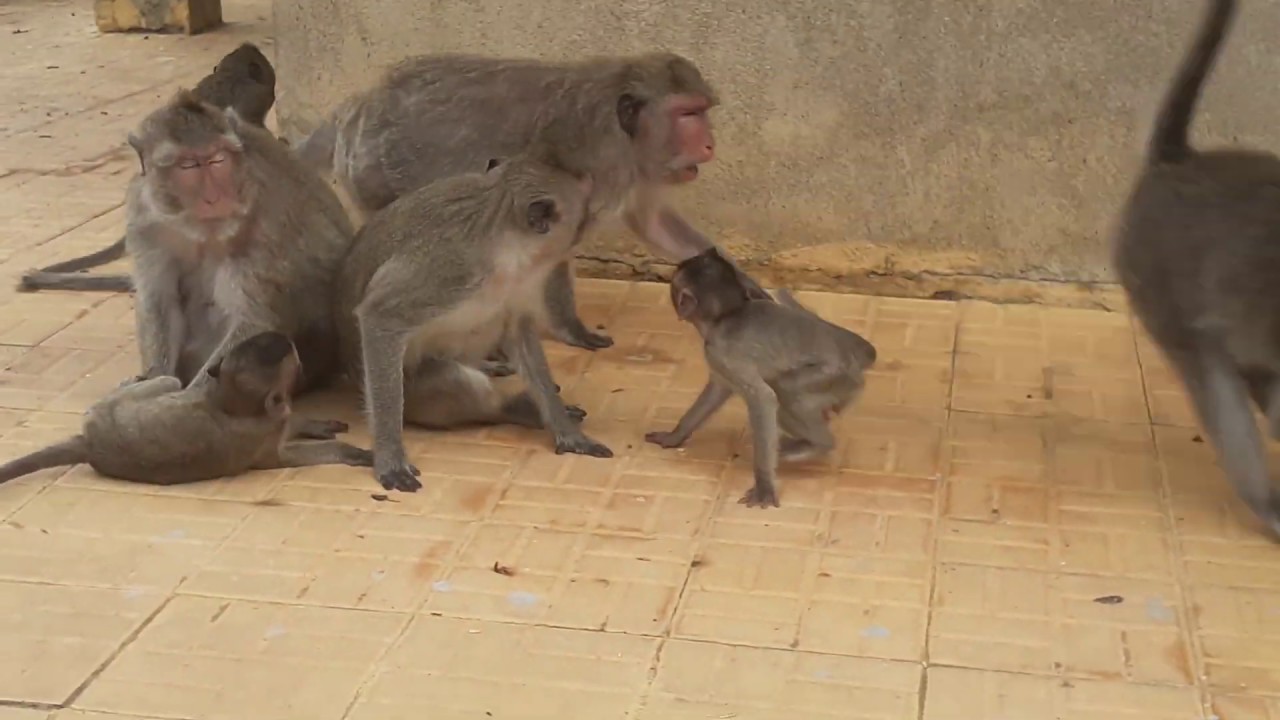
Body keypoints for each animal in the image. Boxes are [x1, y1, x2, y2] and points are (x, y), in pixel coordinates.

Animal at [0, 331, 372, 486]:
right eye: (286, 353)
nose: (289, 340)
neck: (229, 402)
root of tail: (89, 443)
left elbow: (289, 420)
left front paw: (312, 424)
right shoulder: (263, 440)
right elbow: (287, 455)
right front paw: (351, 452)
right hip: (113, 406)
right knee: (169, 380)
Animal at [294, 51, 771, 363]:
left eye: (702, 111)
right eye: (687, 115)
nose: (709, 144)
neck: (624, 130)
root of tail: (361, 103)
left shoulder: (636, 169)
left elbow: (651, 221)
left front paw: (746, 286)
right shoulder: (594, 158)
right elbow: (561, 240)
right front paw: (572, 330)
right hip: (376, 173)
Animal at [334, 150, 613, 493]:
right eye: (584, 211)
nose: (594, 220)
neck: (502, 246)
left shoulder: (518, 284)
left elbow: (518, 333)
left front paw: (563, 427)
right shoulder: (449, 271)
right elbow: (379, 317)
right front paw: (389, 457)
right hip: (415, 395)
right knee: (454, 379)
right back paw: (509, 408)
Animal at [643, 248, 876, 508]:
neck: (726, 316)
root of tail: (851, 357)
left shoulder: (720, 351)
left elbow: (763, 398)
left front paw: (764, 485)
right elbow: (718, 389)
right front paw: (676, 435)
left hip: (833, 376)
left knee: (785, 390)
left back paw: (820, 444)